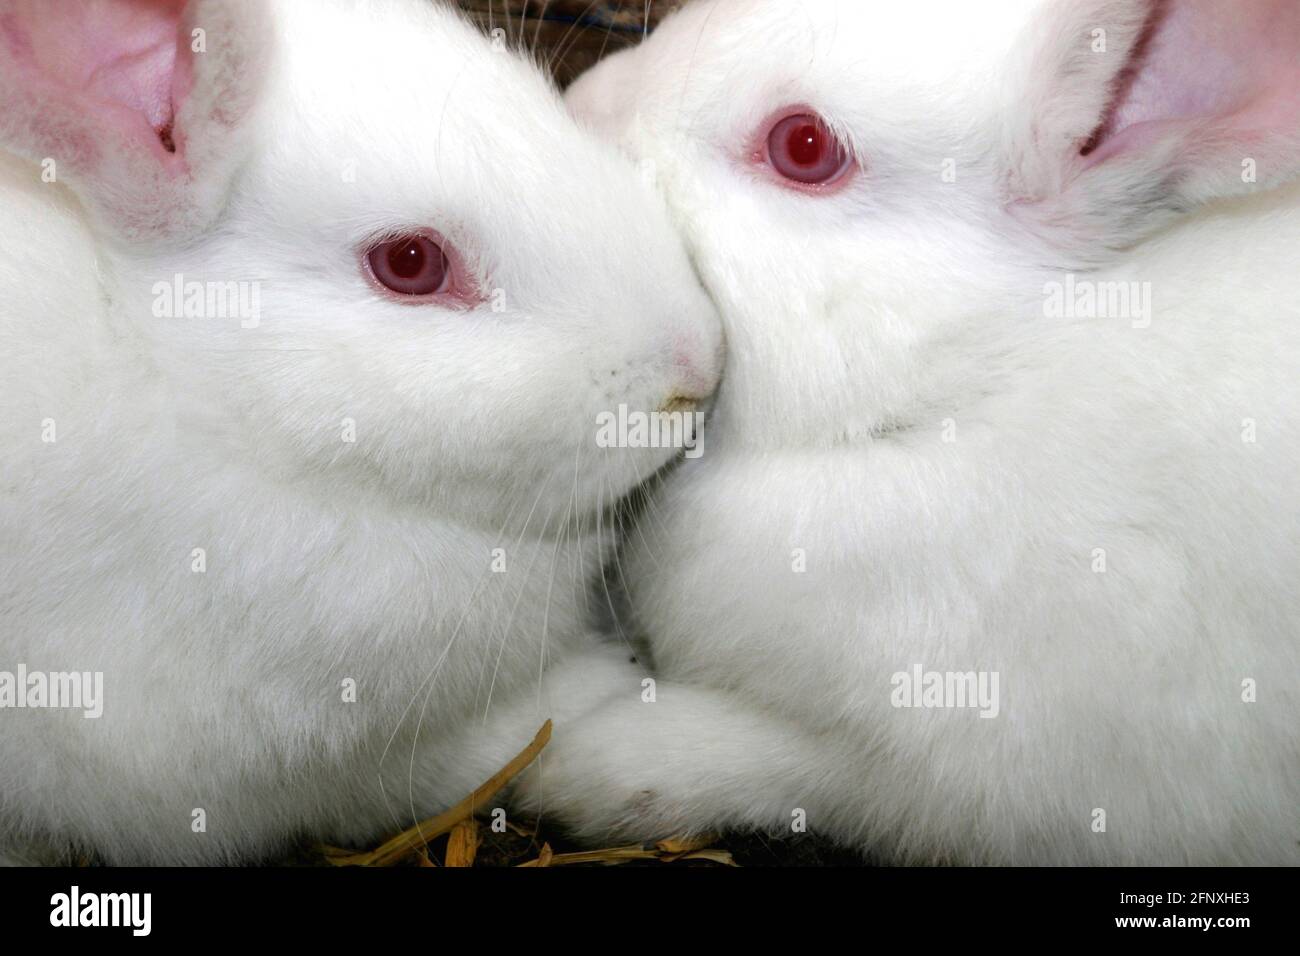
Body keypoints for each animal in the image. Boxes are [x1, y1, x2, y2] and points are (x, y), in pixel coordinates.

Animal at [512, 0, 1300, 864]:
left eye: (805, 147)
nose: (585, 102)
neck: (964, 382)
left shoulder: (947, 775)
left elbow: (779, 762)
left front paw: (581, 771)